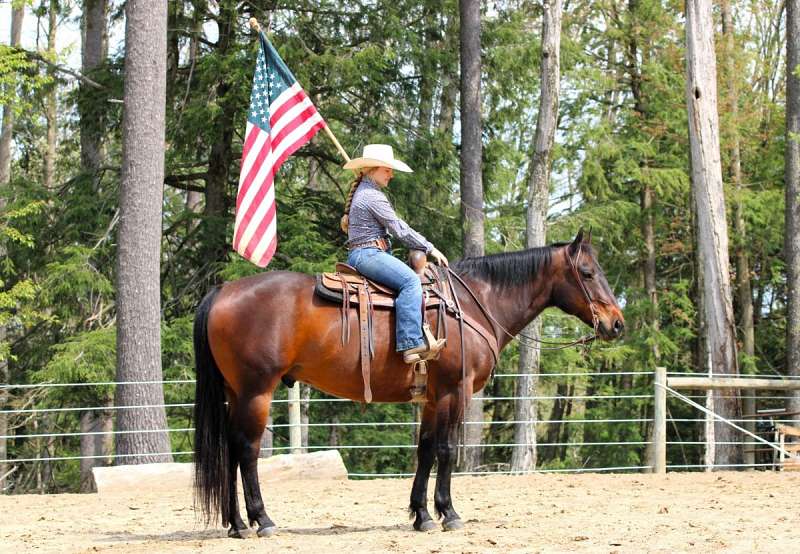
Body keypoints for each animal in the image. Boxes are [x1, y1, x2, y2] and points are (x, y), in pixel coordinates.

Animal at [192, 229, 624, 537]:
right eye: (588, 273)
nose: (616, 323)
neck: (473, 306)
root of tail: (222, 291)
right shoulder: (454, 391)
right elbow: (447, 451)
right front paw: (448, 513)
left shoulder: (432, 398)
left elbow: (426, 449)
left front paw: (421, 515)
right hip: (256, 392)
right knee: (246, 451)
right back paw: (262, 521)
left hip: (236, 393)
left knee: (229, 450)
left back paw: (237, 524)